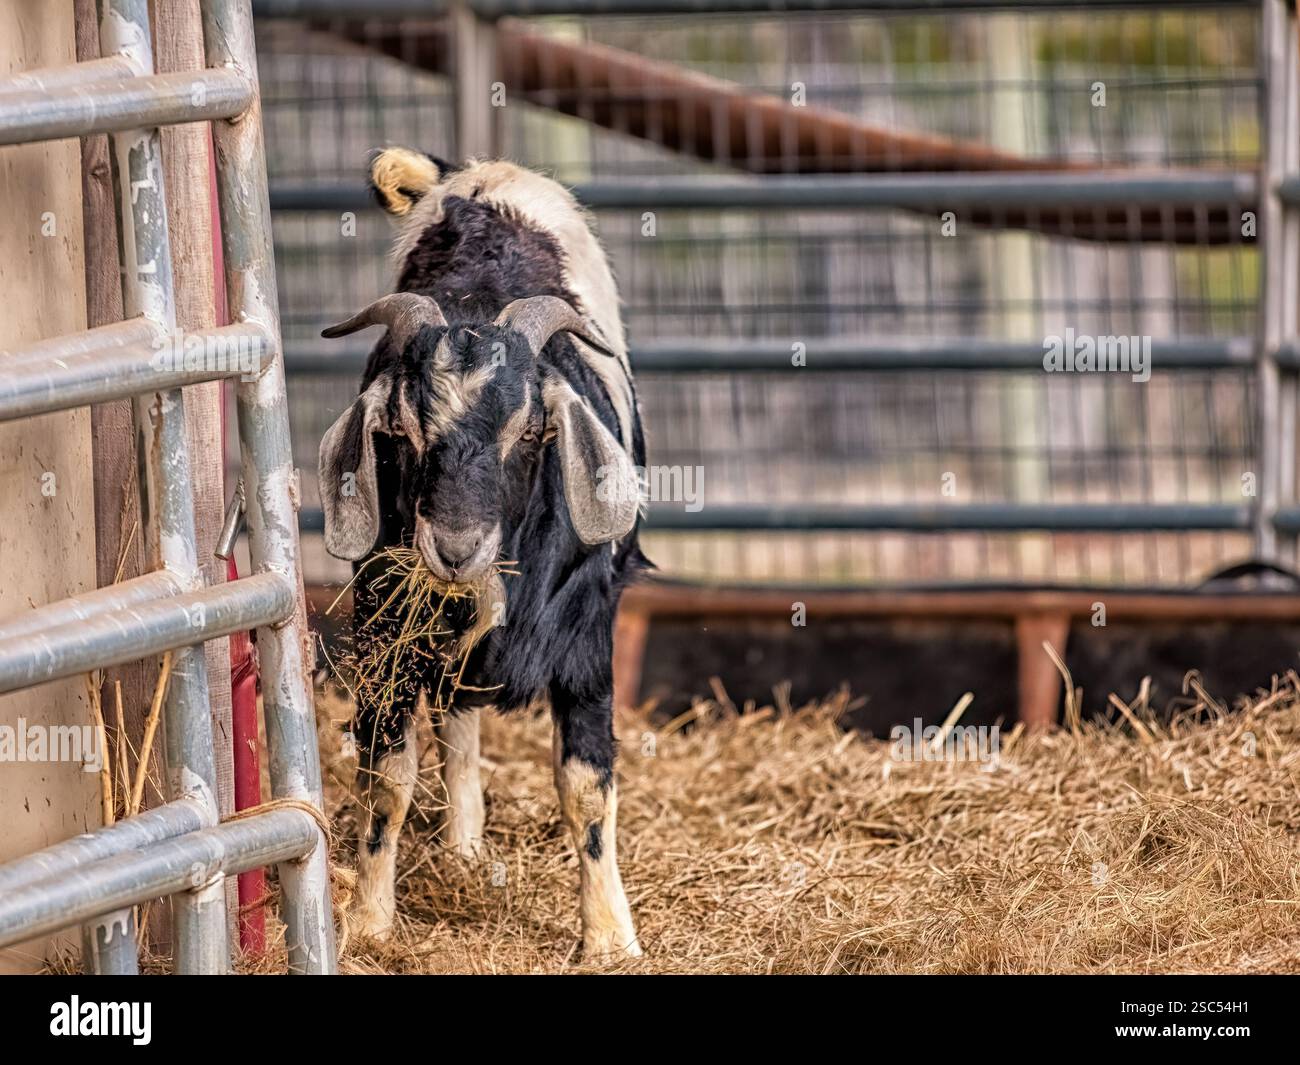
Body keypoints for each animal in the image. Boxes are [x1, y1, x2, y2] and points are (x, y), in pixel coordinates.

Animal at [318, 149, 646, 957]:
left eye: (531, 431)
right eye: (401, 430)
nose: (456, 548)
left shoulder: (588, 631)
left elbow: (586, 783)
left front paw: (609, 936)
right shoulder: (387, 627)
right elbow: (387, 775)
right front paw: (370, 922)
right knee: (458, 723)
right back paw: (464, 847)